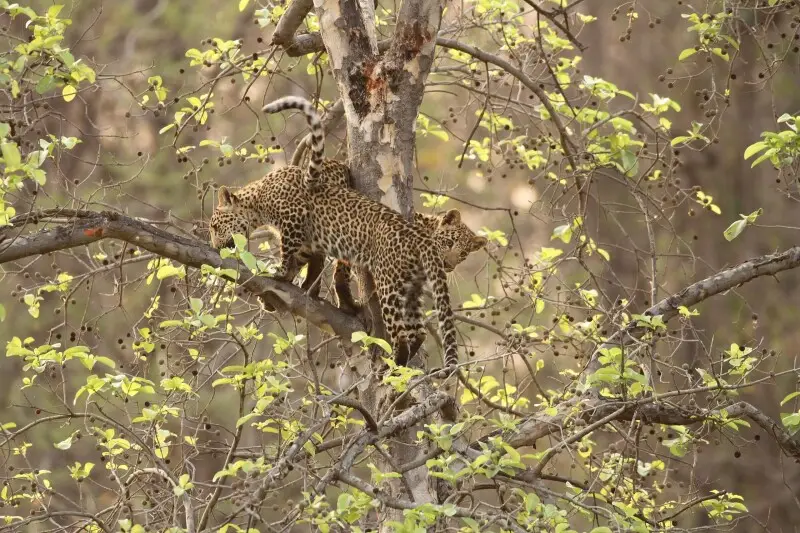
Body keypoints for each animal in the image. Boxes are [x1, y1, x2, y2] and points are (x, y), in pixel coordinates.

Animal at [208, 96, 462, 367]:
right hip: (411, 285)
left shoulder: (294, 219)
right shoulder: (306, 238)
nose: (214, 246)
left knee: (402, 332)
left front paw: (281, 273)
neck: (257, 202)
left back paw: (394, 363)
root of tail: (421, 238)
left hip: (389, 284)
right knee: (418, 331)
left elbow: (289, 254)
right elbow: (302, 259)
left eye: (214, 226)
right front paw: (291, 281)